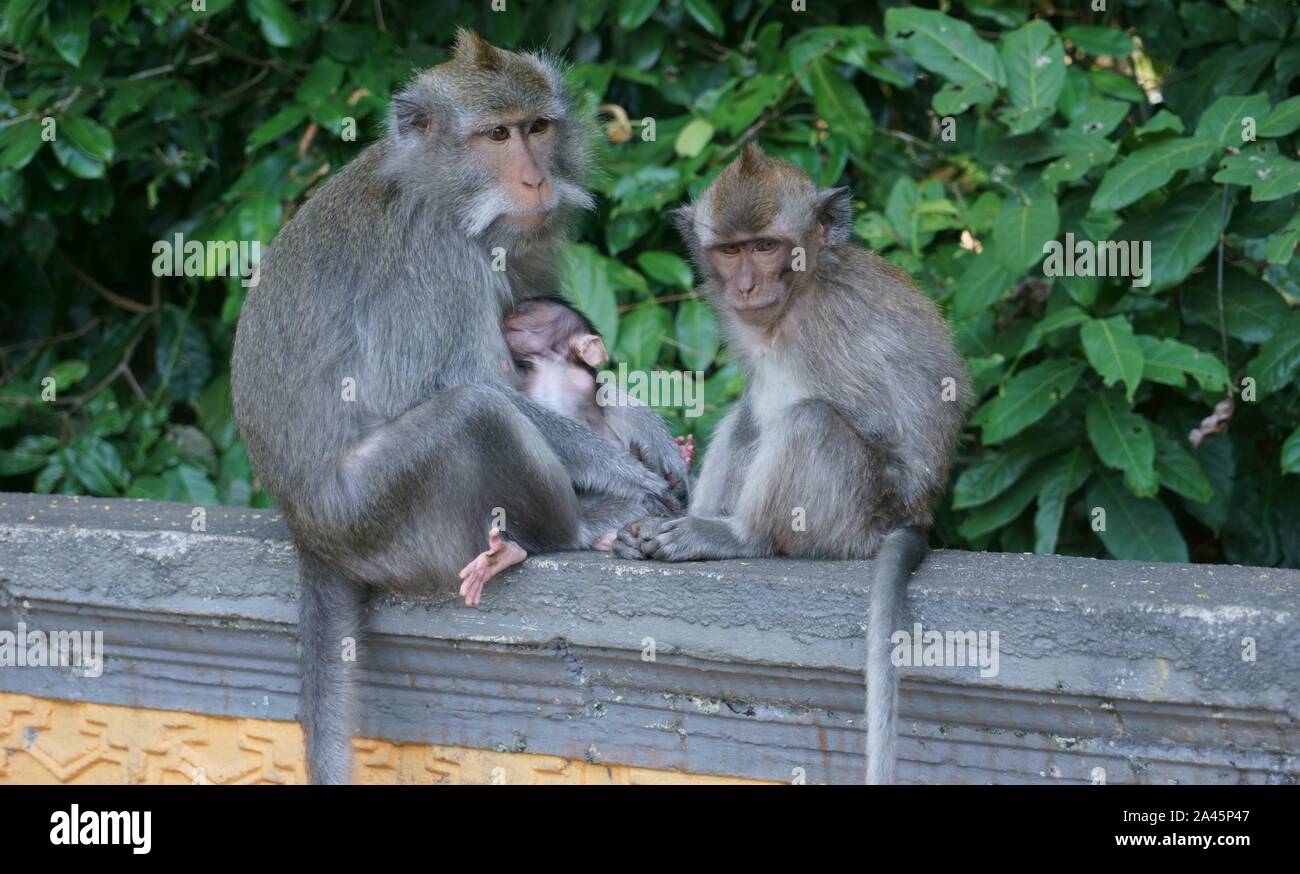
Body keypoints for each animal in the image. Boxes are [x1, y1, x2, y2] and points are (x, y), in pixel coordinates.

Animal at [611, 144, 972, 784]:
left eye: (766, 247)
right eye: (730, 251)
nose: (746, 285)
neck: (802, 291)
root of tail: (914, 518)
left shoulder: (830, 325)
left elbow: (882, 426)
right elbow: (752, 413)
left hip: (856, 515)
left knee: (810, 421)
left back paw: (738, 537)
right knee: (749, 418)